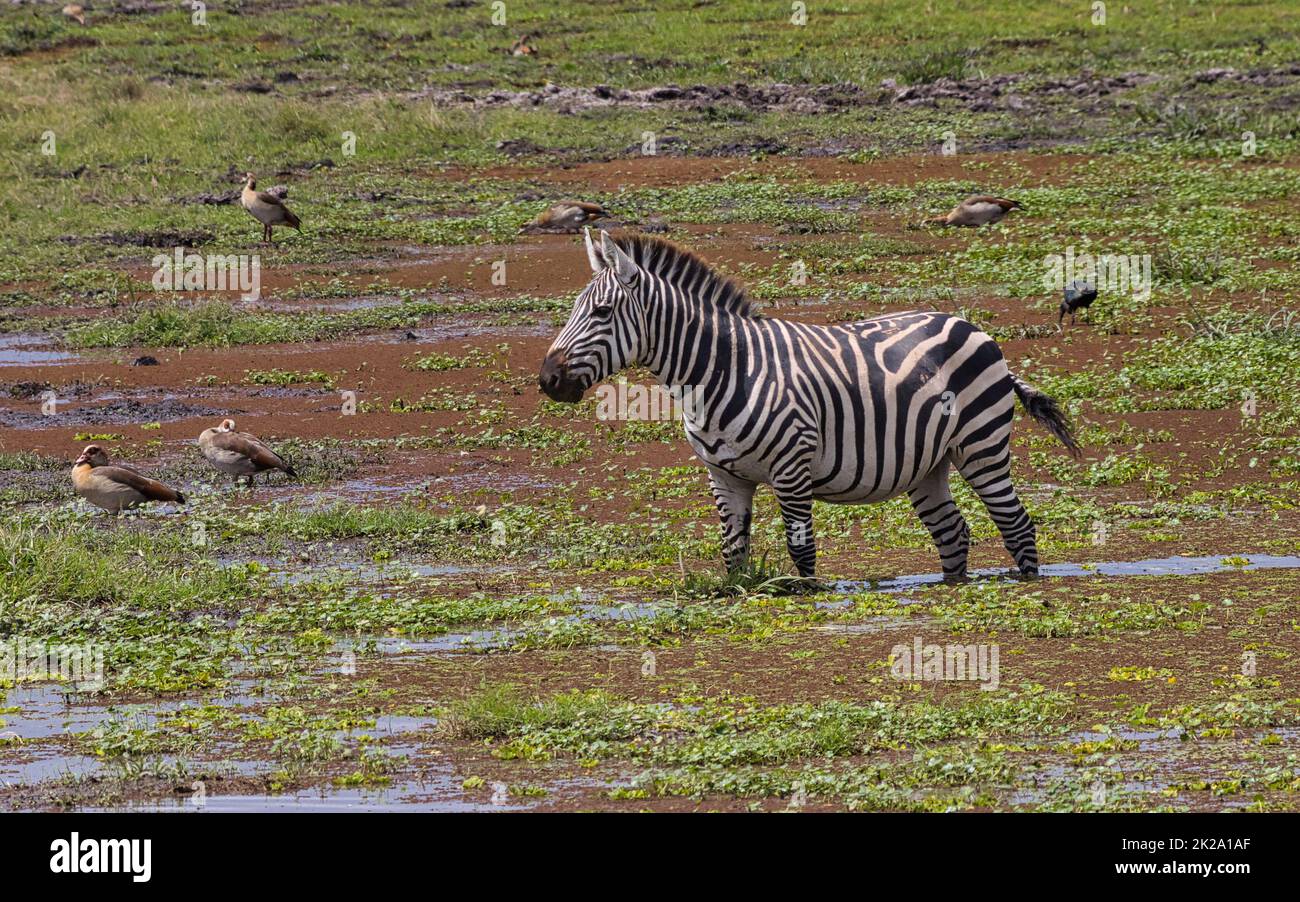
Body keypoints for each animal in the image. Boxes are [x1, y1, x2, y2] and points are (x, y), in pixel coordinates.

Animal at [539, 230, 1081, 581]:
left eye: (602, 312)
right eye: (572, 310)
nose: (547, 380)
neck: (722, 371)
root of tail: (975, 328)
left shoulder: (791, 468)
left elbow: (802, 556)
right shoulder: (724, 477)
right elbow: (732, 557)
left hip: (981, 447)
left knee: (1016, 525)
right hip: (929, 463)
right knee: (953, 533)